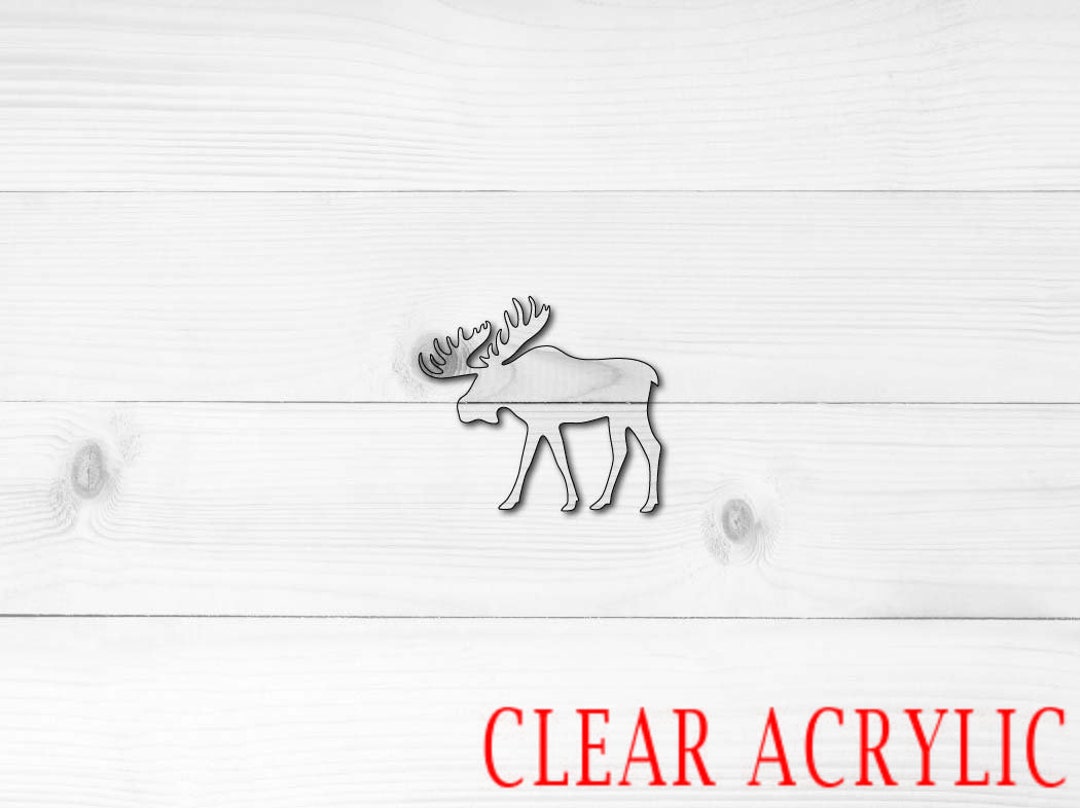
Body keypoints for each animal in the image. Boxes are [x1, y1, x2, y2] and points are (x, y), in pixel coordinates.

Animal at [418, 297, 661, 513]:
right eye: (476, 378)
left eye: (492, 379)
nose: (462, 408)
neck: (520, 387)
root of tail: (653, 376)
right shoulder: (539, 424)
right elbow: (541, 458)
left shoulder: (545, 422)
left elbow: (546, 459)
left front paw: (565, 502)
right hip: (621, 417)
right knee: (634, 448)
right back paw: (612, 501)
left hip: (627, 414)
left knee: (642, 447)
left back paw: (640, 503)